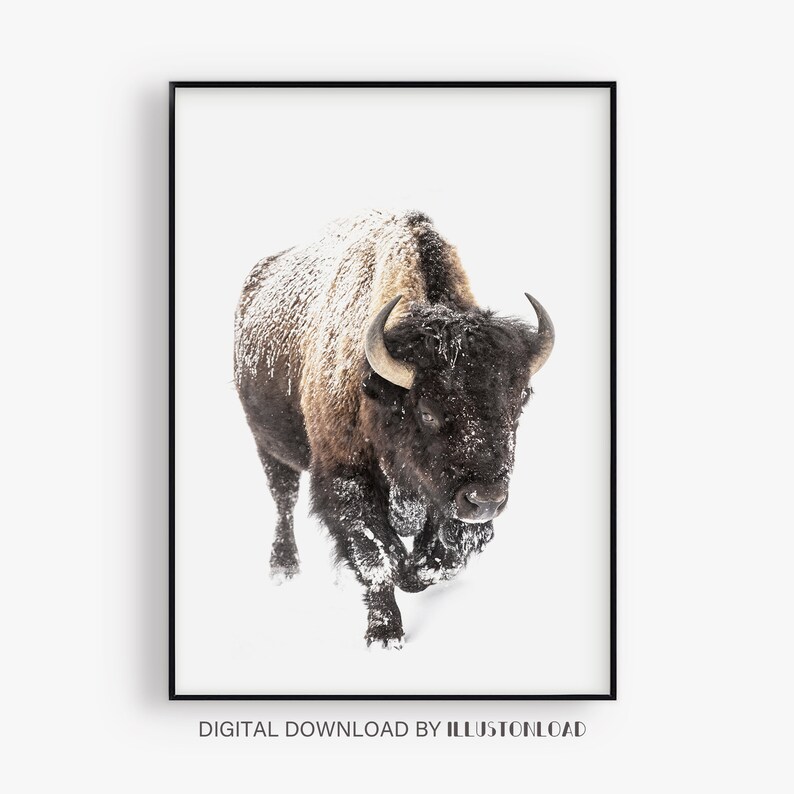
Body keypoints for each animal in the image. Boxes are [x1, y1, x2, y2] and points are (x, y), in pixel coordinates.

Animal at [234, 210, 554, 648]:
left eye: (518, 403)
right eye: (427, 411)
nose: (485, 500)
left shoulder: (444, 499)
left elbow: (442, 556)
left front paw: (416, 572)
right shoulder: (346, 478)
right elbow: (376, 555)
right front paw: (385, 634)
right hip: (267, 445)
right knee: (283, 499)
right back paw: (283, 568)